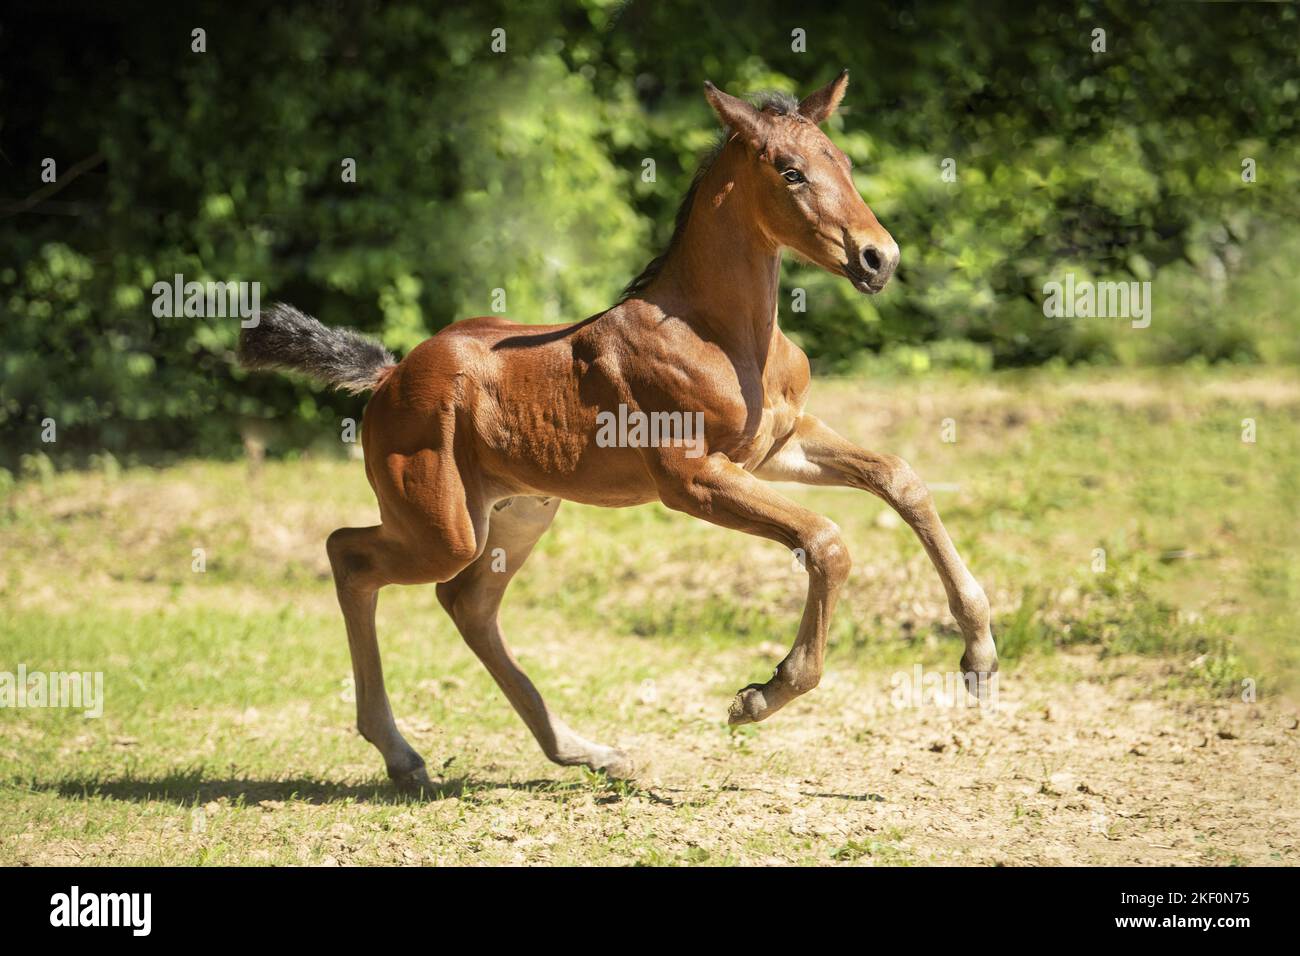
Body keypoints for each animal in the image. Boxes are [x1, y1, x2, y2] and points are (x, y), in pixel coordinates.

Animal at [239, 71, 997, 792]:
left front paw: (980, 657)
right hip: (443, 527)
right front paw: (764, 693)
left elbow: (899, 478)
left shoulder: (778, 447)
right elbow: (827, 541)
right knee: (349, 555)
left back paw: (586, 752)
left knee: (467, 603)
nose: (879, 259)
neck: (721, 334)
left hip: (519, 512)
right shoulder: (694, 480)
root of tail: (391, 374)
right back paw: (402, 754)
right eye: (790, 171)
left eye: (843, 161)